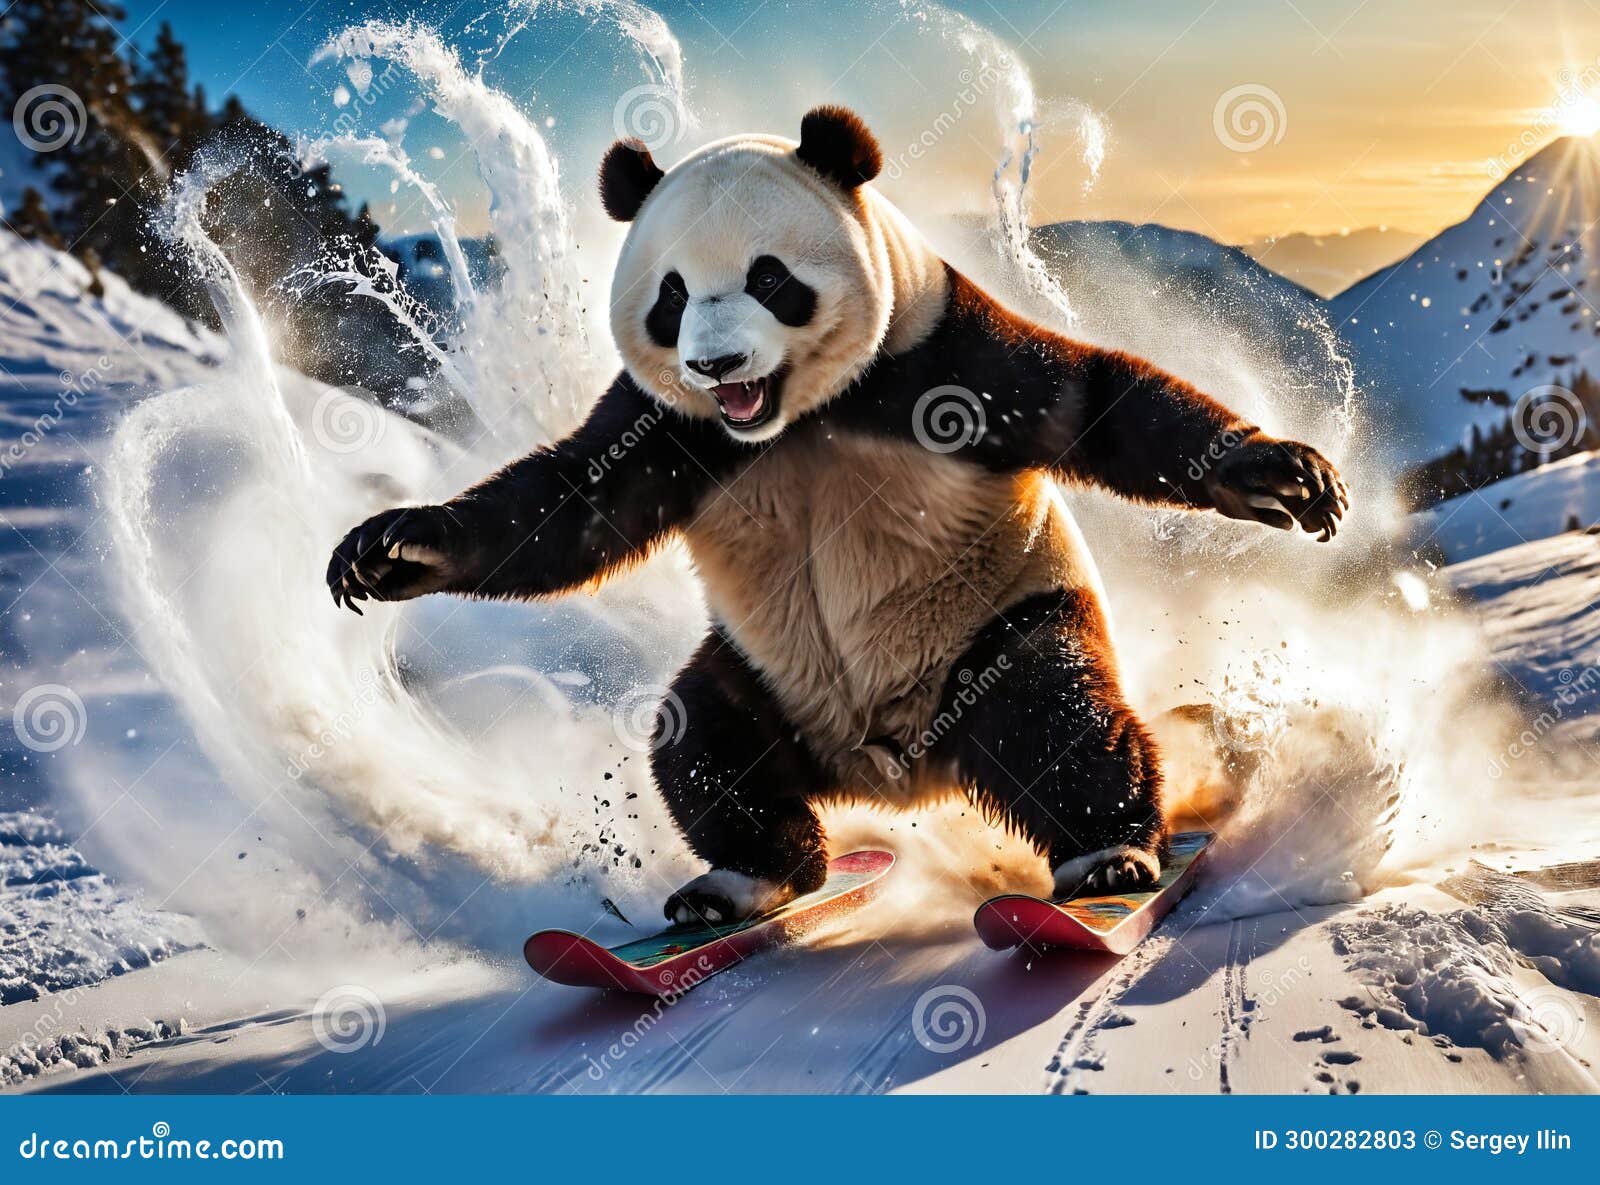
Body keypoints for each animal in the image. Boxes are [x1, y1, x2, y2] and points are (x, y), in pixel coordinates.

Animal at [327, 105, 1348, 926]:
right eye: (671, 296)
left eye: (770, 278)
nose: (716, 364)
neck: (798, 418)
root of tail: (896, 774)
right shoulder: (670, 429)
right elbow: (573, 507)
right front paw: (388, 551)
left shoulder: (939, 354)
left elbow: (1089, 401)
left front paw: (1280, 476)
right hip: (769, 676)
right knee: (702, 741)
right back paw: (746, 882)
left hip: (991, 624)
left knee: (1055, 709)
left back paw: (1110, 857)